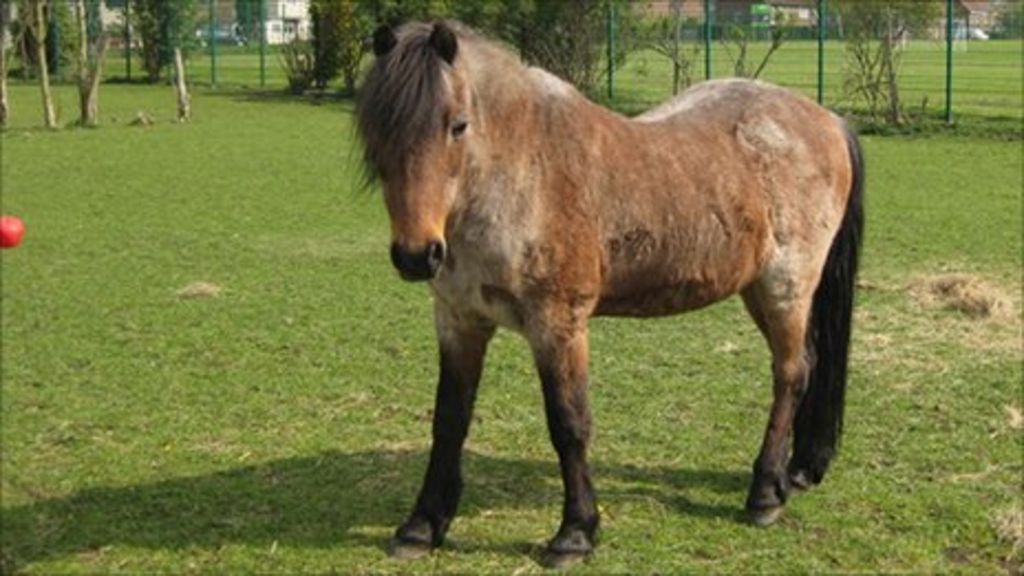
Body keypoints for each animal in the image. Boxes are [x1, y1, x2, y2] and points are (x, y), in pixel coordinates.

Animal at [355, 21, 863, 567]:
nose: (416, 254)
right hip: (759, 291)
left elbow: (569, 424)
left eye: (458, 125)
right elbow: (449, 420)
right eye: (378, 128)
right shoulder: (459, 321)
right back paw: (797, 471)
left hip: (785, 287)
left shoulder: (558, 325)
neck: (522, 172)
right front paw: (422, 526)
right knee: (807, 364)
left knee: (791, 374)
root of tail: (827, 120)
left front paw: (575, 533)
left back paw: (766, 492)